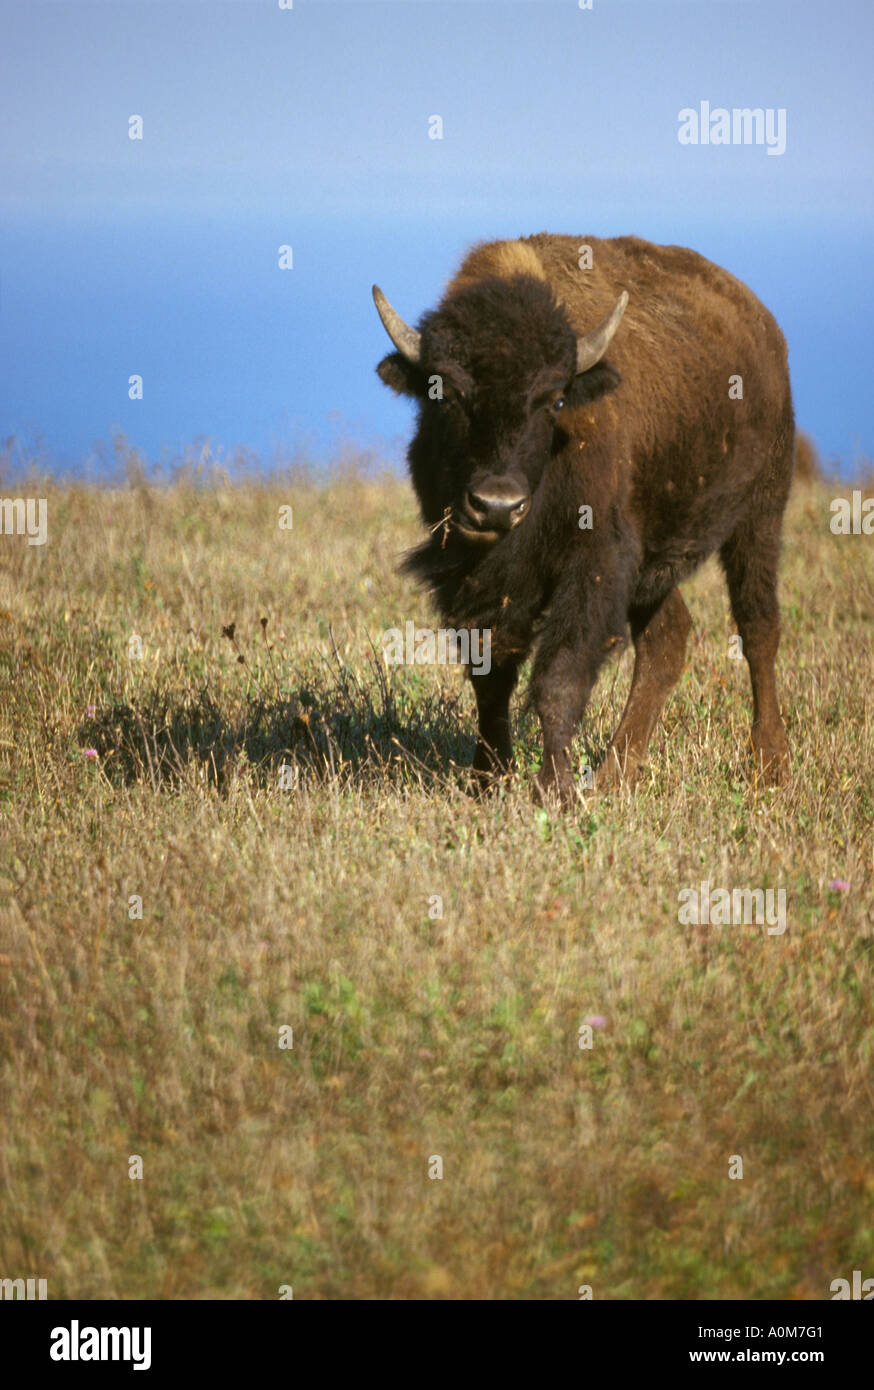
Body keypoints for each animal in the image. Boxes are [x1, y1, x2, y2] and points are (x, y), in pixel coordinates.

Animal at [374, 234, 793, 806]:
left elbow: (560, 676)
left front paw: (554, 789)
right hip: (655, 564)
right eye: (446, 392)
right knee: (668, 637)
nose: (497, 504)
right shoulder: (474, 579)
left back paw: (768, 764)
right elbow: (492, 672)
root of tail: (764, 326)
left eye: (553, 399)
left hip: (760, 513)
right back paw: (617, 774)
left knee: (758, 627)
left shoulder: (594, 567)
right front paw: (489, 780)